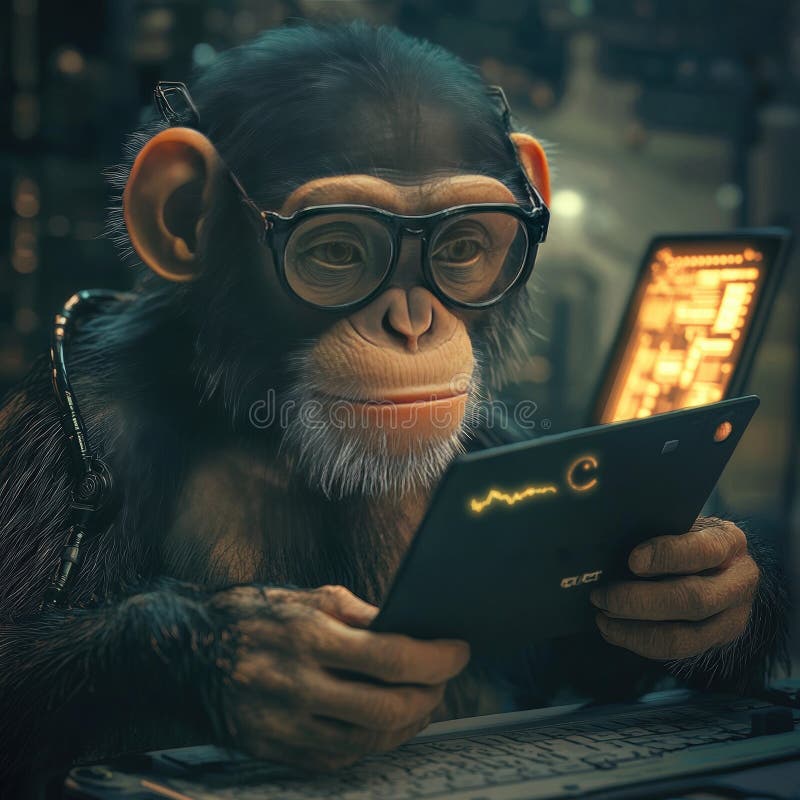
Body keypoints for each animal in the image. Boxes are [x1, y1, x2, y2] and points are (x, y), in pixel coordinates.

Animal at [0, 21, 789, 791]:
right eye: (338, 251)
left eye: (463, 247)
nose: (411, 324)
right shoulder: (78, 427)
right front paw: (263, 652)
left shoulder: (492, 437)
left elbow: (589, 667)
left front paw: (708, 579)